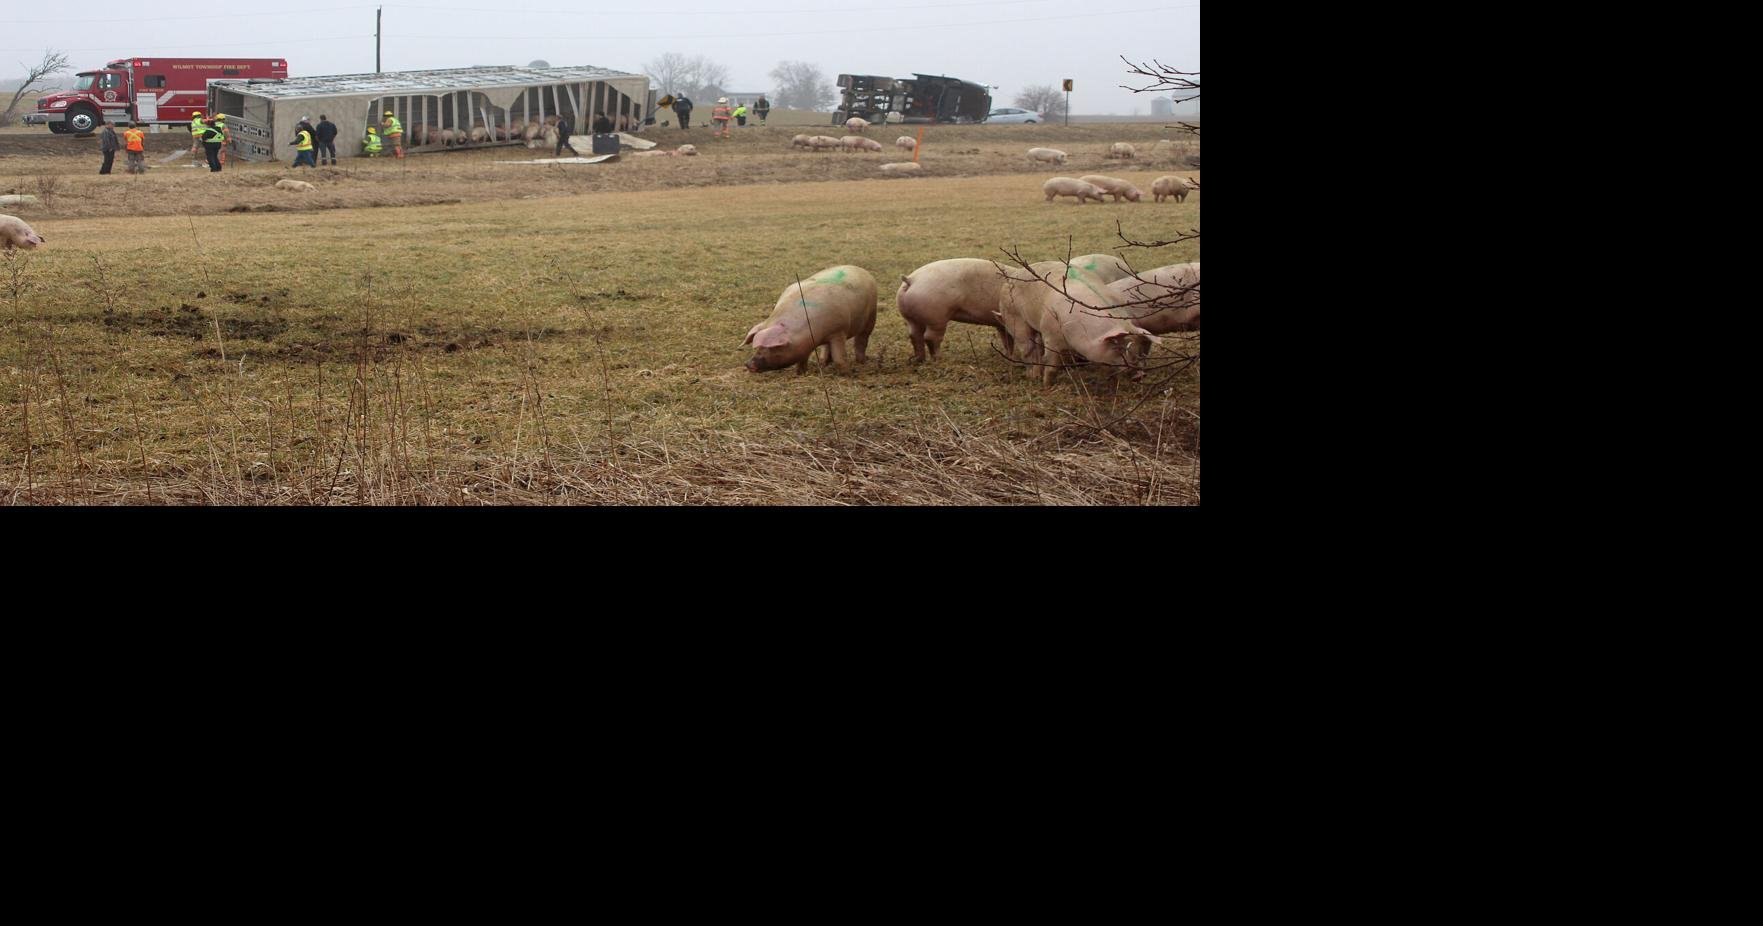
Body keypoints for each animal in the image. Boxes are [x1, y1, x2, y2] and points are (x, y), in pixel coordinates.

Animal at [743, 266, 878, 374]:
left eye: (773, 347)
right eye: (758, 347)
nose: (748, 364)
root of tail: (862, 270)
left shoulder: (839, 331)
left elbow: (839, 357)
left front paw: (848, 373)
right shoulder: (805, 344)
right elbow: (802, 359)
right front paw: (800, 373)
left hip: (871, 315)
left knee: (862, 339)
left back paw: (861, 362)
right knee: (827, 347)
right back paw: (823, 363)